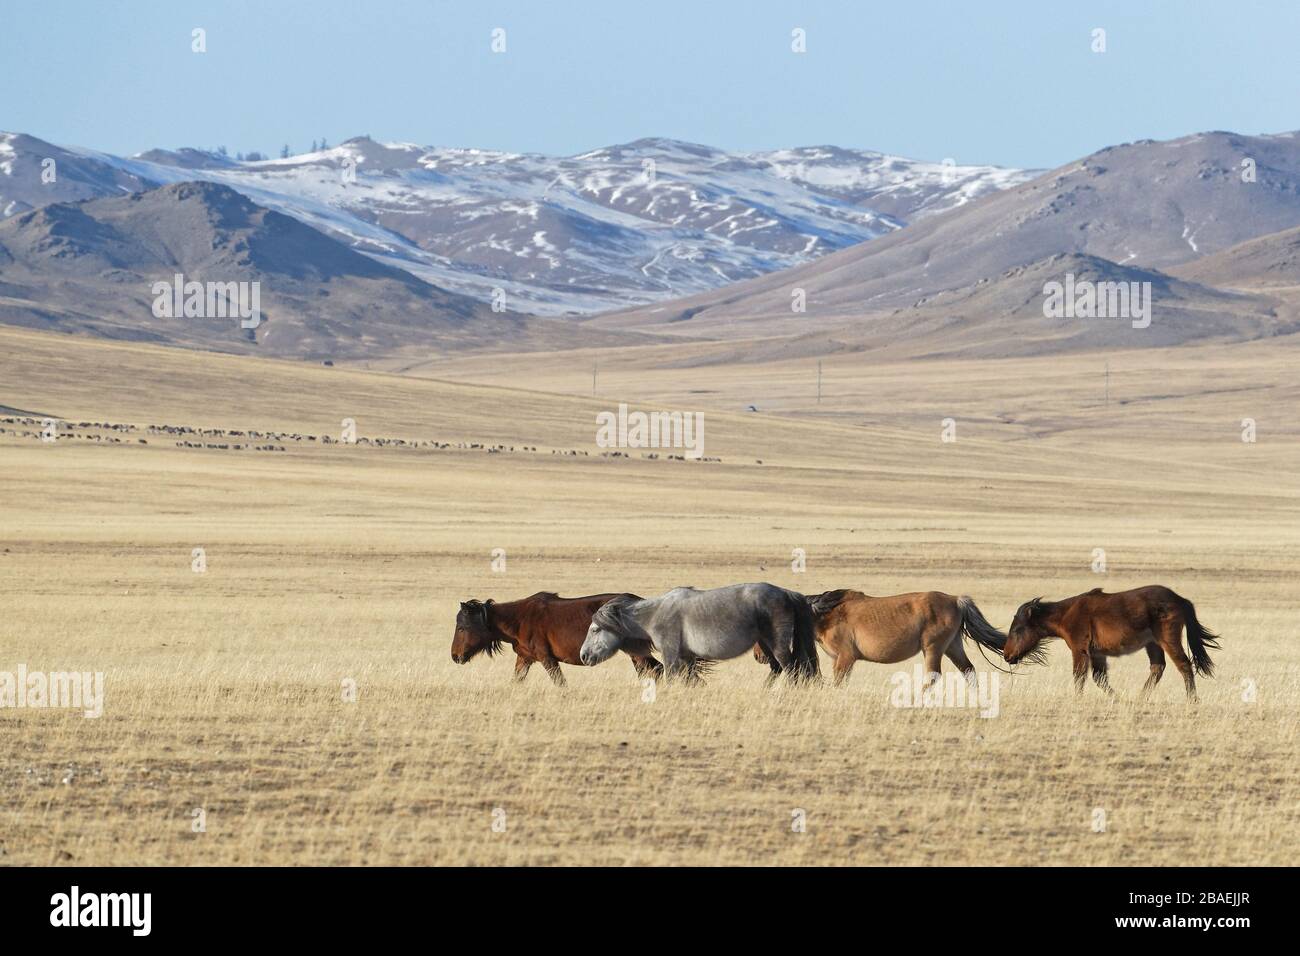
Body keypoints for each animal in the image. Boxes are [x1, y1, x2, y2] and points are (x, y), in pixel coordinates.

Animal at [452, 592, 662, 685]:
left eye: (461, 628)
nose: (455, 656)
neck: (519, 620)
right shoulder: (525, 658)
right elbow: (516, 680)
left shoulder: (547, 658)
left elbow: (560, 682)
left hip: (637, 652)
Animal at [580, 583, 819, 684]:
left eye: (595, 629)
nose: (583, 656)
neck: (654, 613)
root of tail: (788, 593)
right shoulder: (686, 657)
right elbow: (692, 680)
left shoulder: (670, 654)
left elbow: (672, 678)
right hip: (765, 644)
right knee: (779, 669)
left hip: (777, 644)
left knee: (791, 670)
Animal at [764, 589, 1011, 687]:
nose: (762, 656)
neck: (825, 614)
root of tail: (956, 600)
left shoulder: (845, 658)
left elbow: (839, 682)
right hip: (952, 646)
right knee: (968, 670)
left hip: (933, 648)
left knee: (933, 675)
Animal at [1003, 585, 1221, 700]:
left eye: (1017, 630)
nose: (1006, 655)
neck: (1066, 613)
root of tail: (1180, 599)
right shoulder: (1097, 654)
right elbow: (1099, 678)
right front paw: (1118, 699)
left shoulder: (1080, 650)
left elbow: (1079, 677)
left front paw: (1078, 699)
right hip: (1153, 644)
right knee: (1157, 668)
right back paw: (1140, 698)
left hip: (1168, 640)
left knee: (1184, 666)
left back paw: (1192, 700)